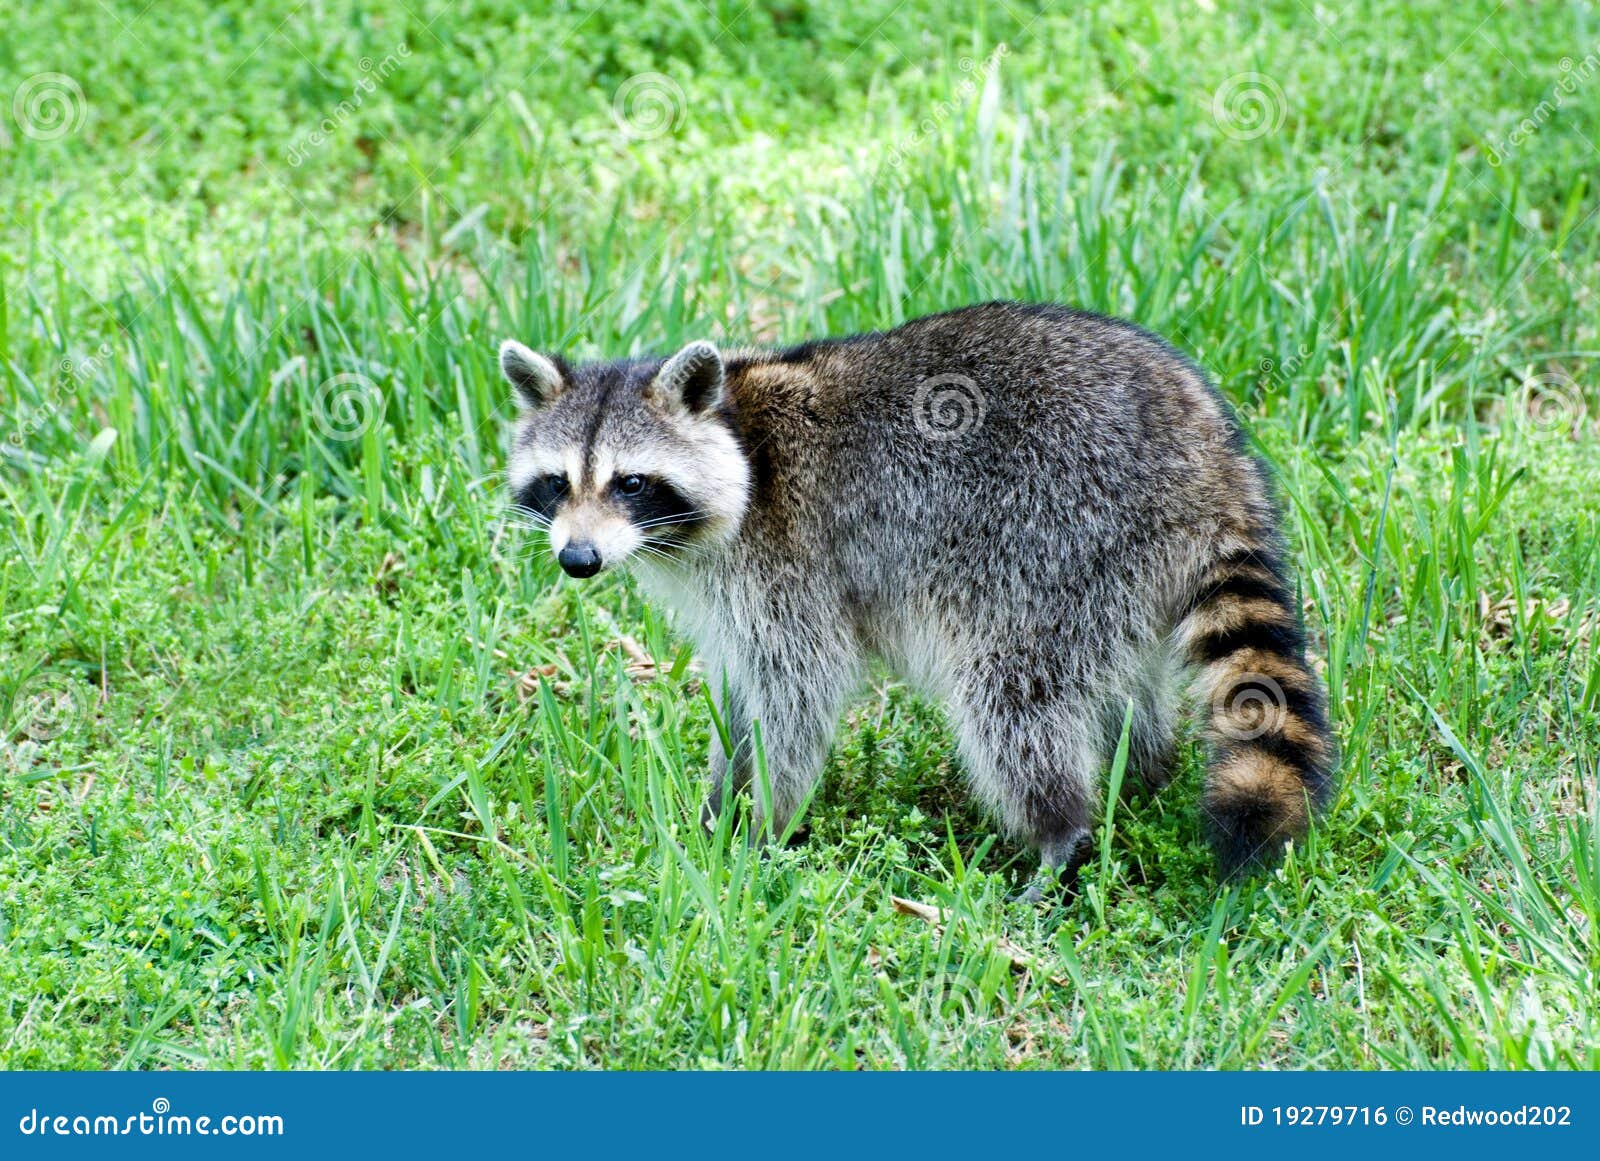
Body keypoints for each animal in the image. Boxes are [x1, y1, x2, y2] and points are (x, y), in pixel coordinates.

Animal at [501, 302, 1336, 893]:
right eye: (558, 483)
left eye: (631, 483)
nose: (577, 559)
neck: (739, 434)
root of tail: (1206, 451)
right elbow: (740, 691)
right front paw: (719, 809)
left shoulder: (785, 561)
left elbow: (798, 692)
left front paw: (759, 826)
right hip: (1118, 572)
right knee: (1116, 680)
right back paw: (1142, 776)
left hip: (1057, 536)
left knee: (1011, 697)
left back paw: (1061, 835)